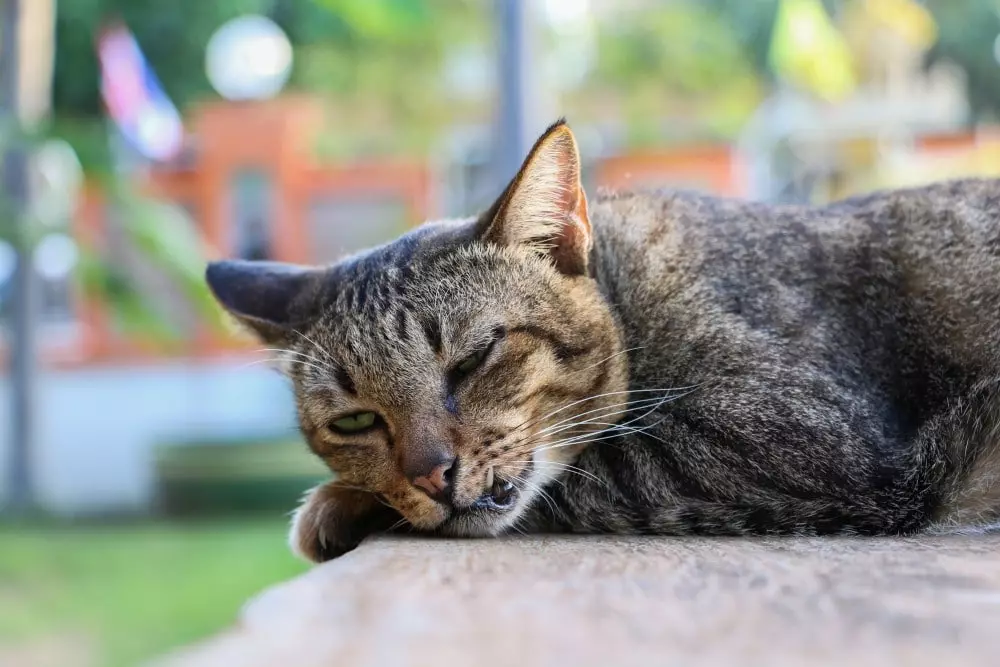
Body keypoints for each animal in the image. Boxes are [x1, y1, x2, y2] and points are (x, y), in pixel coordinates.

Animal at [205, 117, 1000, 560]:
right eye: (355, 421)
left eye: (473, 359)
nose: (430, 473)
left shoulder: (802, 437)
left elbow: (587, 474)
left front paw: (337, 502)